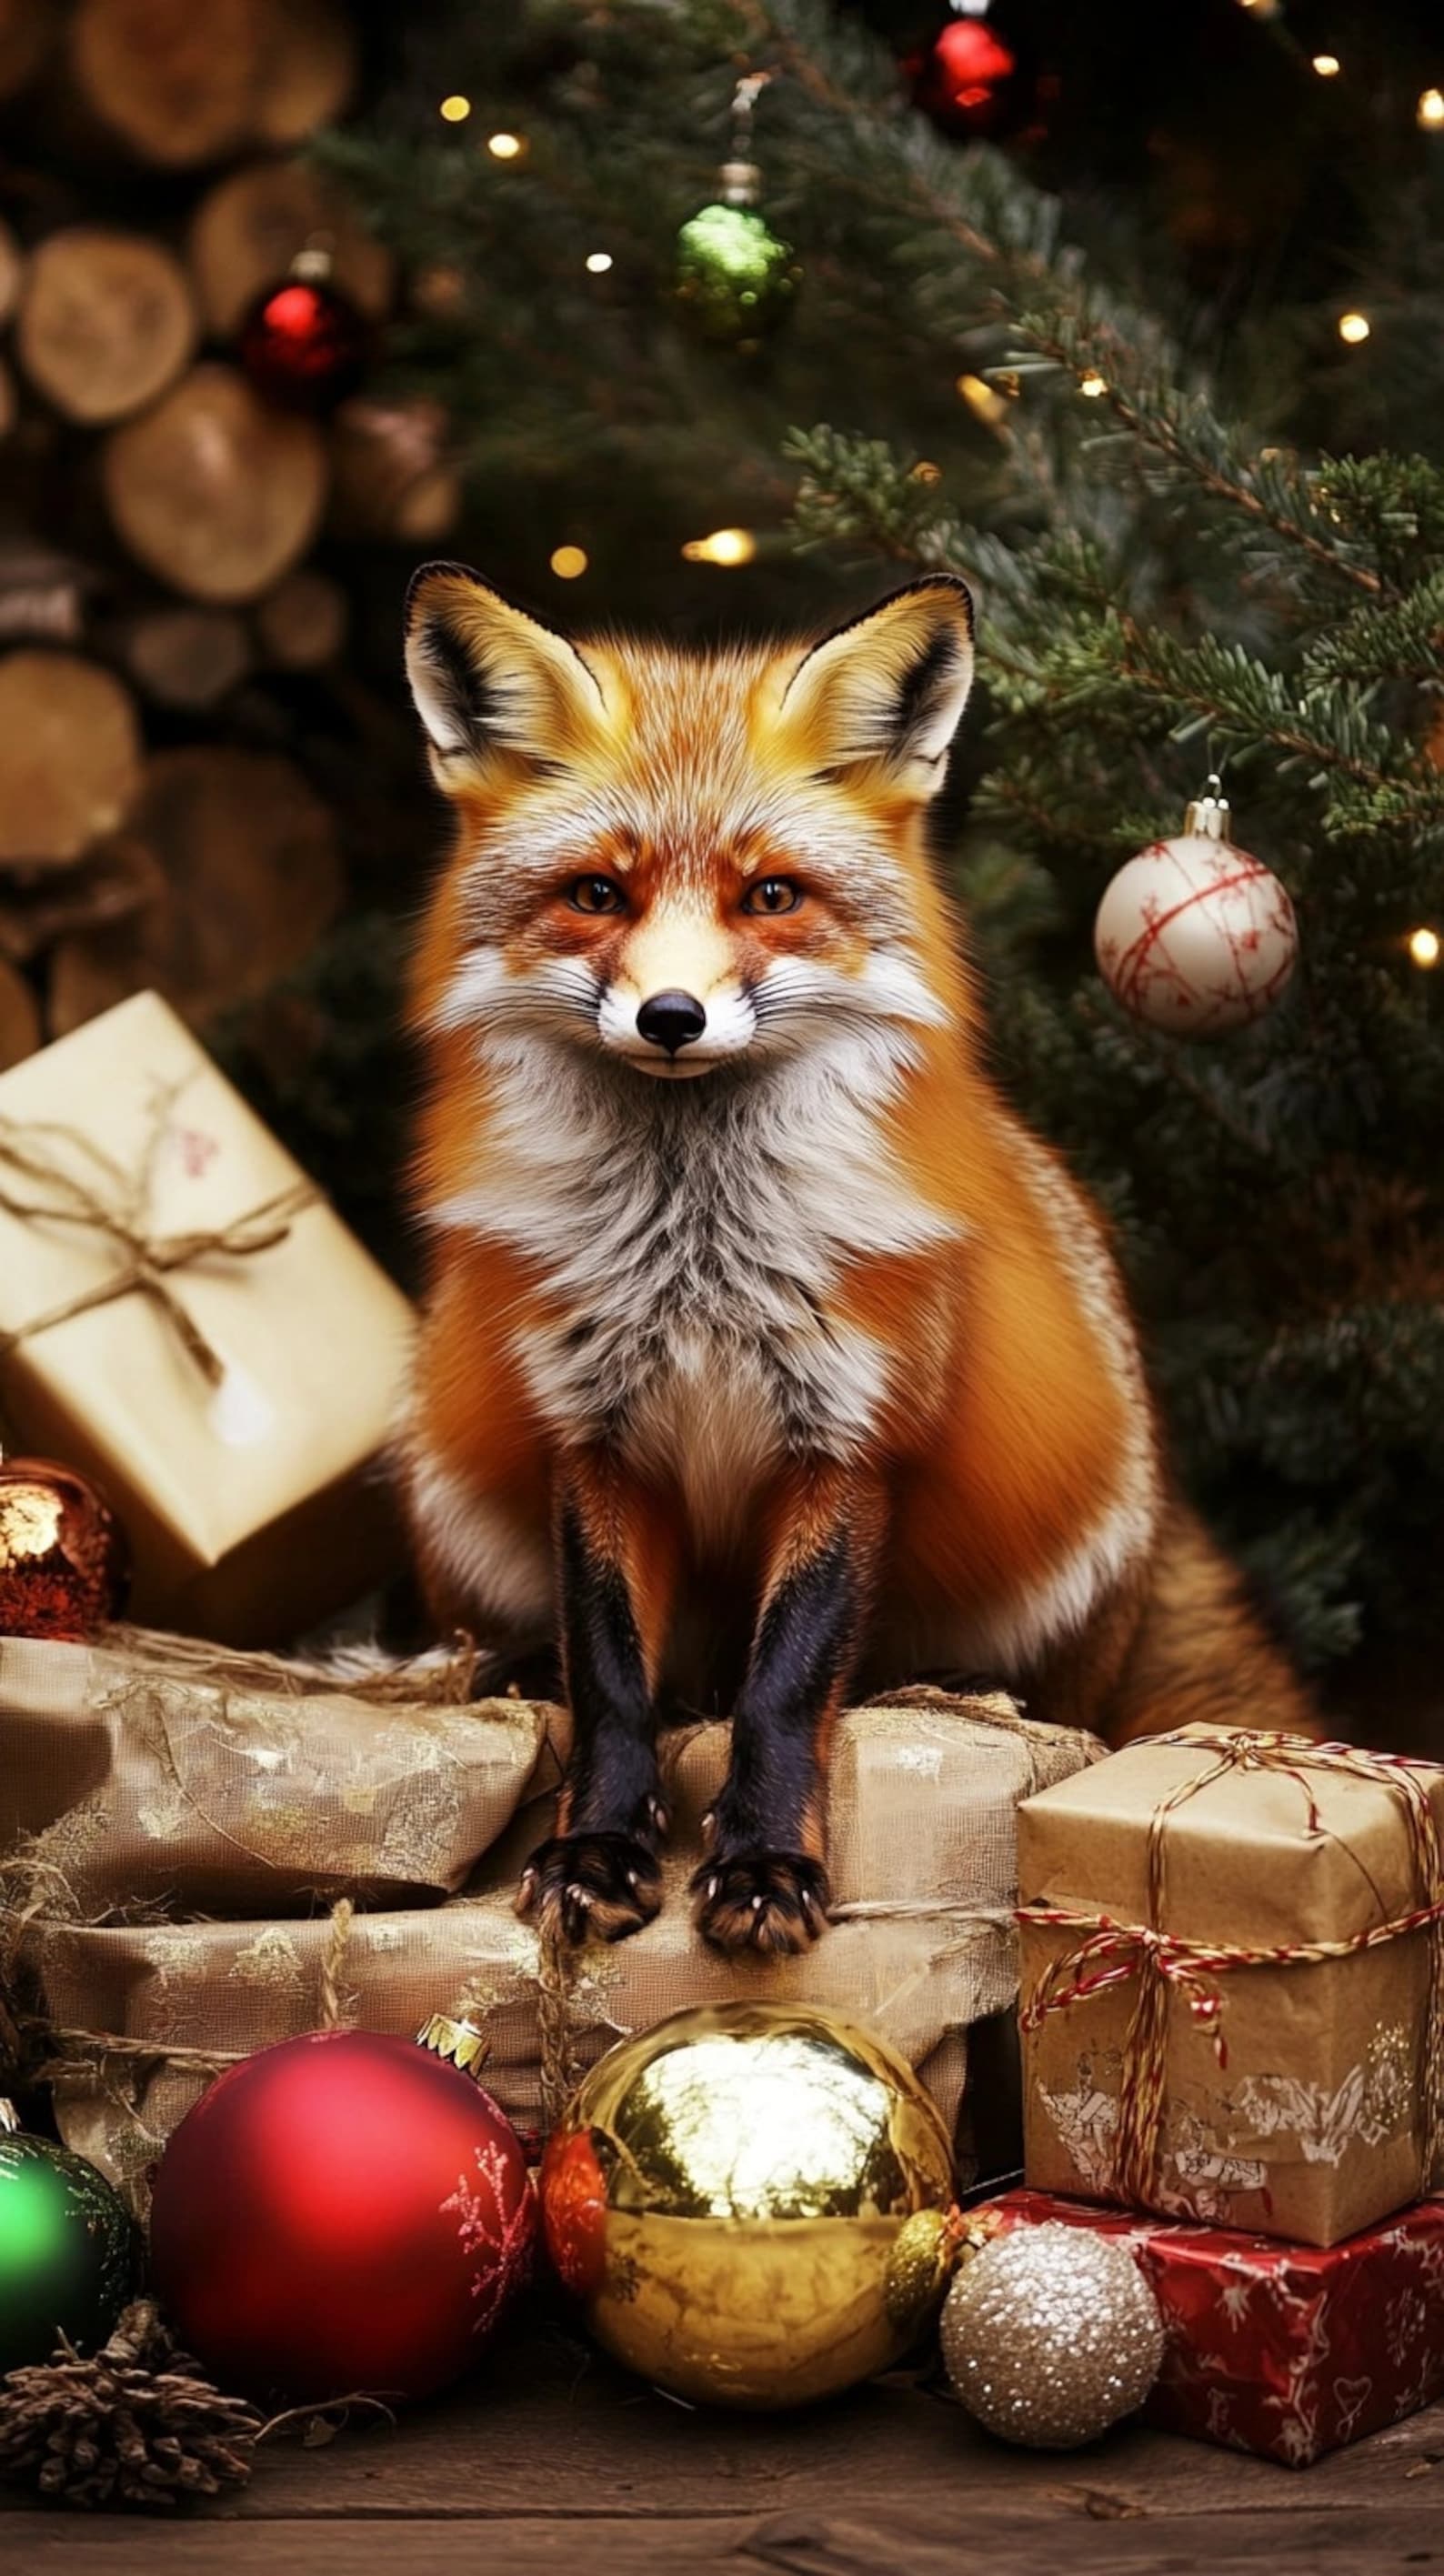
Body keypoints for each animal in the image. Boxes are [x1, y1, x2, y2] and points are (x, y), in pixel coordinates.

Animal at [399, 562, 1317, 1957]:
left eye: (770, 895)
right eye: (598, 894)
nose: (672, 1017)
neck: (696, 1258)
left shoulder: (850, 1436)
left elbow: (786, 1680)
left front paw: (764, 1867)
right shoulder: (594, 1435)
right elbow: (609, 1676)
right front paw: (599, 1848)